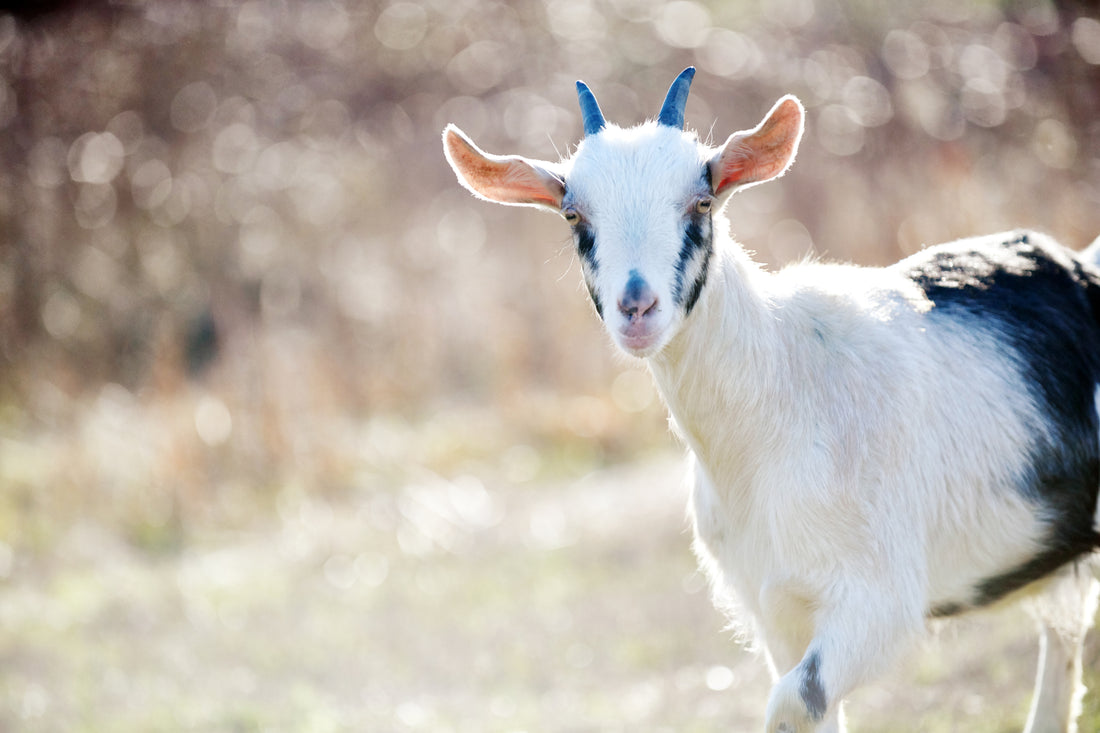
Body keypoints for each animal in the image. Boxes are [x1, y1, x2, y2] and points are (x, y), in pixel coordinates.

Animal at [442, 67, 1100, 733]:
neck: (782, 399)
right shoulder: (776, 607)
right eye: (574, 215)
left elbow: (791, 703)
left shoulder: (878, 601)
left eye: (702, 201)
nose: (636, 308)